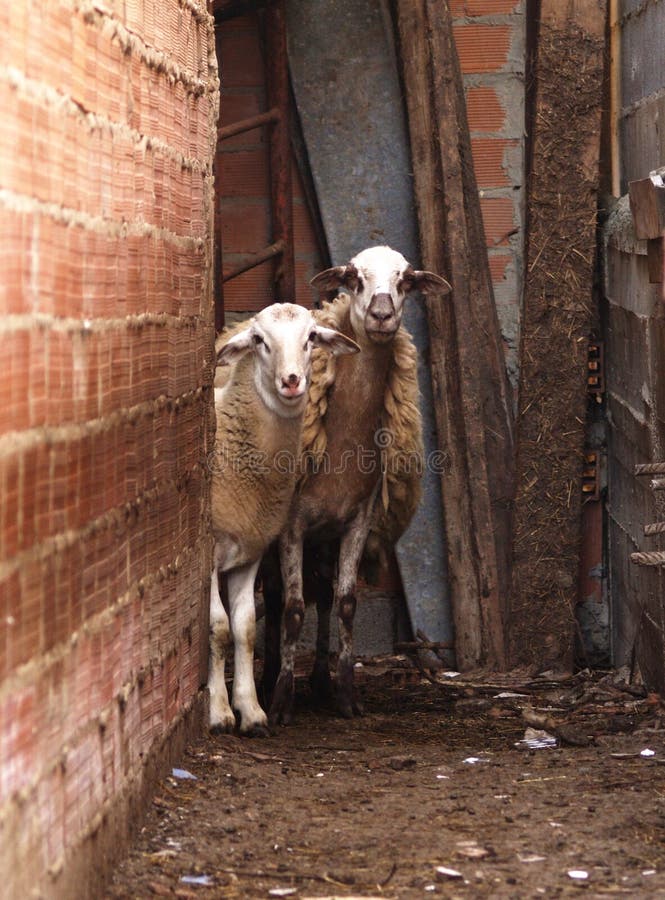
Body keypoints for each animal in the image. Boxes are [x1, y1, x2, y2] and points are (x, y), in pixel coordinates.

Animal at [207, 302, 359, 736]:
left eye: (311, 337)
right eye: (259, 340)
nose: (292, 381)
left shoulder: (249, 551)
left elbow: (244, 629)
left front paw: (252, 712)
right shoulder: (208, 556)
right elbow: (217, 627)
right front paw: (218, 713)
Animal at [264, 246, 450, 725]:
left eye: (405, 280)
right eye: (353, 278)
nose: (383, 314)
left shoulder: (358, 519)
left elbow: (346, 604)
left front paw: (346, 694)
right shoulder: (290, 524)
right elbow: (292, 610)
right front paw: (281, 700)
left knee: (326, 598)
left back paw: (319, 680)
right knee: (273, 599)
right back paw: (269, 673)